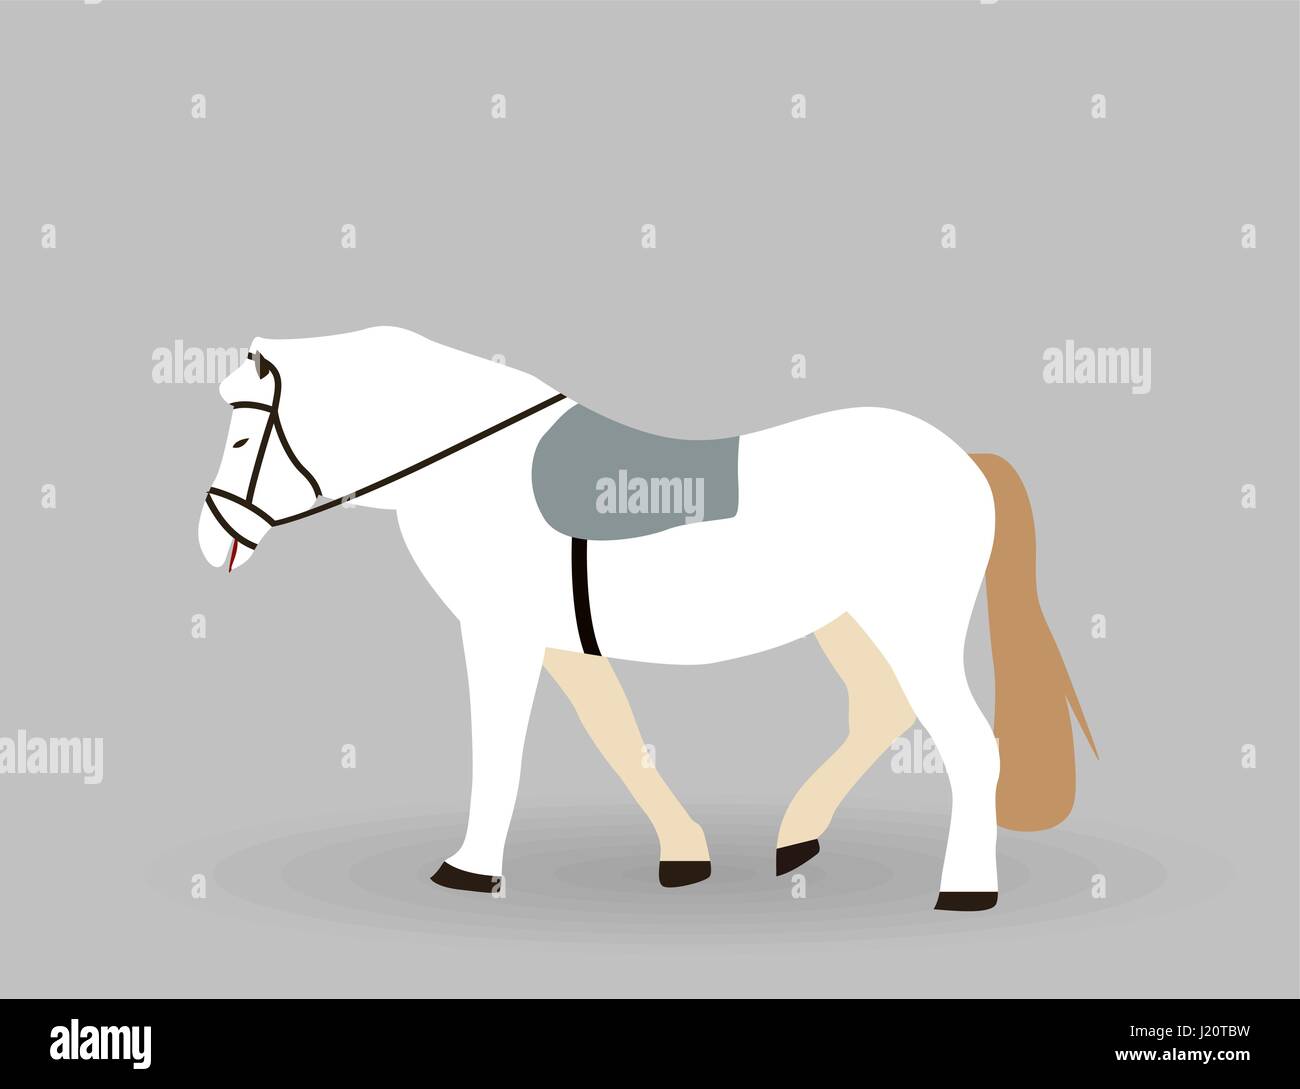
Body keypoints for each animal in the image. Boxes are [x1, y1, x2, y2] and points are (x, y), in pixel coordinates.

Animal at [197, 325, 1095, 910]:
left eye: (244, 437)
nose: (213, 539)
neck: (472, 467)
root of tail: (961, 459)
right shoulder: (564, 642)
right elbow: (617, 736)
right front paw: (684, 854)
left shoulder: (499, 634)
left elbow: (499, 750)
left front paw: (470, 867)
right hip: (849, 620)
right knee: (881, 711)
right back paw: (795, 837)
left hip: (908, 623)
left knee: (969, 742)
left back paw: (966, 887)